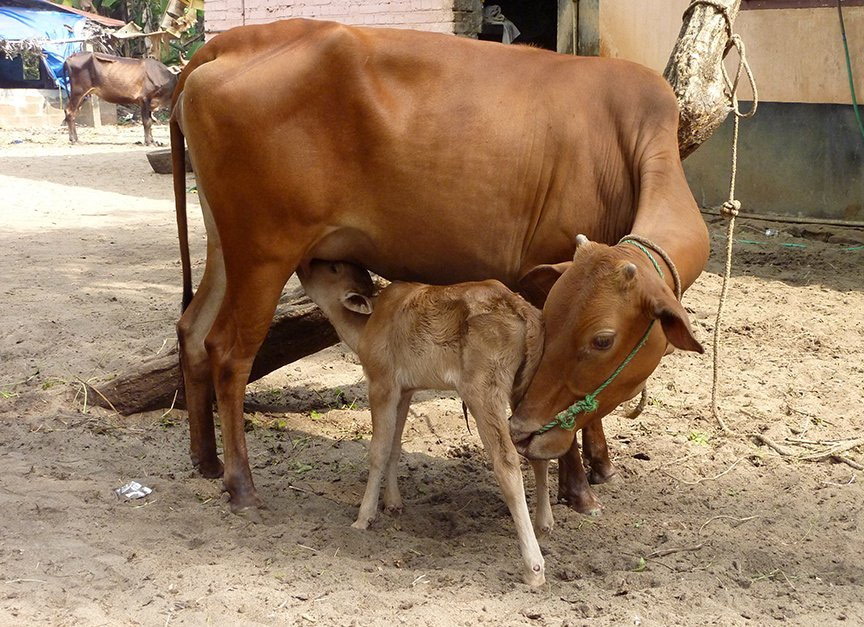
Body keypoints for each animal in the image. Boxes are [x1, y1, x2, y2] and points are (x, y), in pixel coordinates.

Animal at [171, 19, 709, 520]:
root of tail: (228, 43)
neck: (628, 140)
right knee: (229, 353)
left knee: (192, 330)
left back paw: (205, 460)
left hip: (226, 246)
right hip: (264, 253)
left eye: (602, 340)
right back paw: (241, 483)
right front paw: (577, 486)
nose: (524, 432)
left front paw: (601, 463)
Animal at [298, 259, 551, 585]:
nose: (304, 264)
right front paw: (393, 503)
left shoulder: (381, 383)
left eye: (332, 268)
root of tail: (521, 308)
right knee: (538, 449)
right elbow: (395, 446)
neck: (367, 326)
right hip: (526, 386)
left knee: (506, 461)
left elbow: (378, 450)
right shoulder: (406, 390)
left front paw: (363, 518)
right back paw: (545, 523)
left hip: (483, 390)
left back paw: (533, 567)